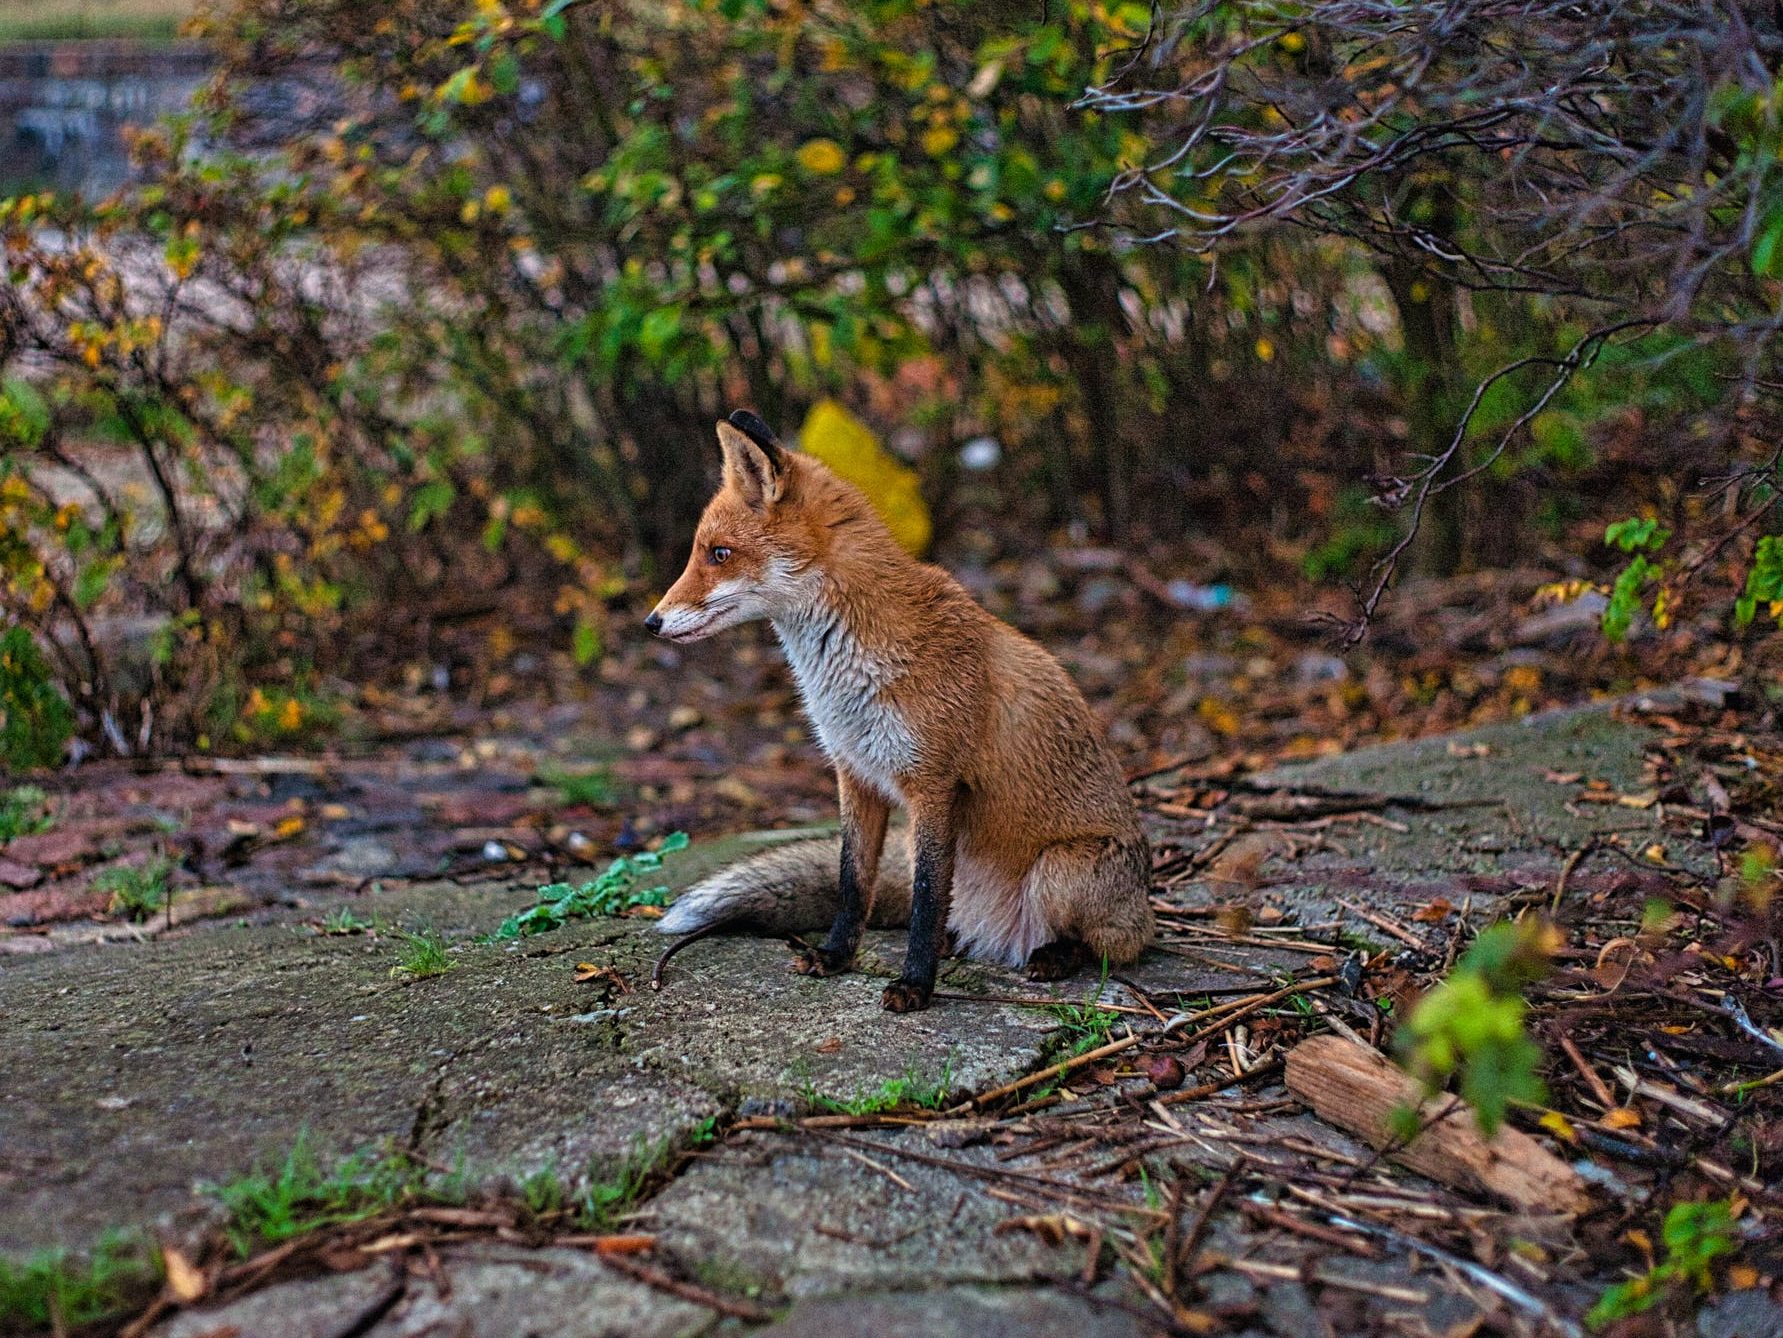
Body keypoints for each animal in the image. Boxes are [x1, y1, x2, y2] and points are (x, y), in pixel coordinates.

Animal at [644, 410, 1155, 1012]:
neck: (847, 673)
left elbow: (926, 899)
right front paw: (836, 956)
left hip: (1060, 873)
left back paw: (1053, 955)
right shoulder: (855, 774)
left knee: (1109, 946)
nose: (651, 622)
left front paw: (915, 984)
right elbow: (853, 881)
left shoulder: (933, 784)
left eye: (718, 554)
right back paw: (963, 943)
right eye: (702, 551)